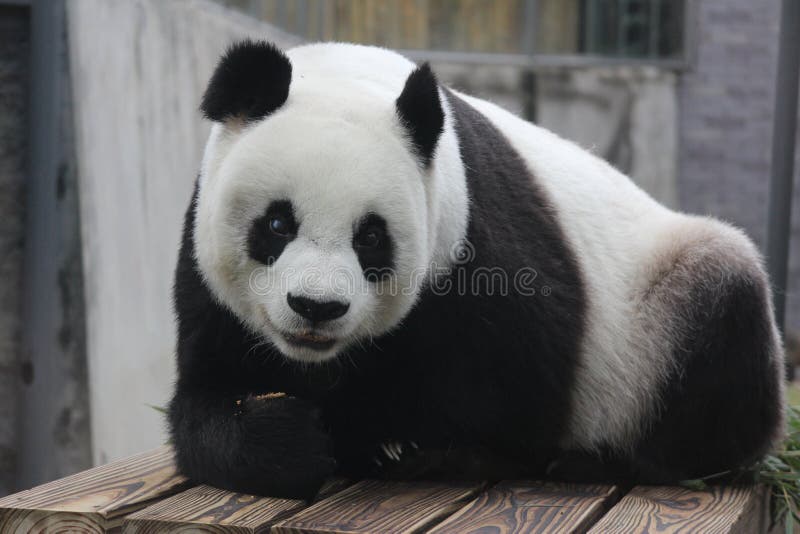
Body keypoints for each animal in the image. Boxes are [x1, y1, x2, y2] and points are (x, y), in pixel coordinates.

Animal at [169, 40, 785, 499]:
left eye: (371, 238)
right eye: (277, 224)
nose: (317, 308)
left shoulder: (478, 248)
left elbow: (522, 393)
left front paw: (398, 443)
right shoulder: (205, 276)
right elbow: (203, 399)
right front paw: (293, 438)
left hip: (662, 306)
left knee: (720, 332)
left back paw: (603, 463)